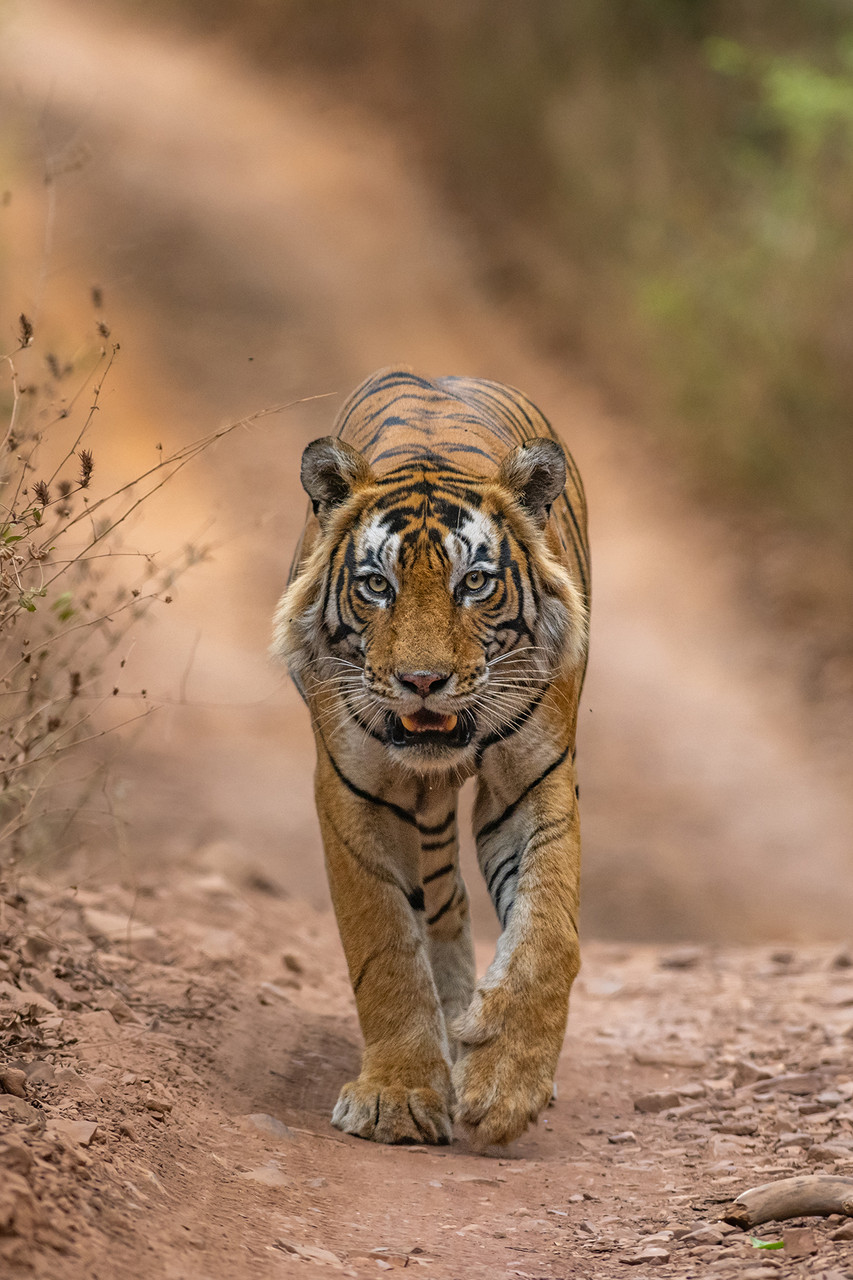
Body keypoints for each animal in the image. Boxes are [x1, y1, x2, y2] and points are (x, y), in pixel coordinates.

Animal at [272, 367, 589, 1148]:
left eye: (473, 583)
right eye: (376, 585)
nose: (422, 681)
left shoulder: (533, 781)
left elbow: (548, 933)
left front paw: (506, 1081)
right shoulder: (354, 791)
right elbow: (383, 941)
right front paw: (400, 1094)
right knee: (439, 908)